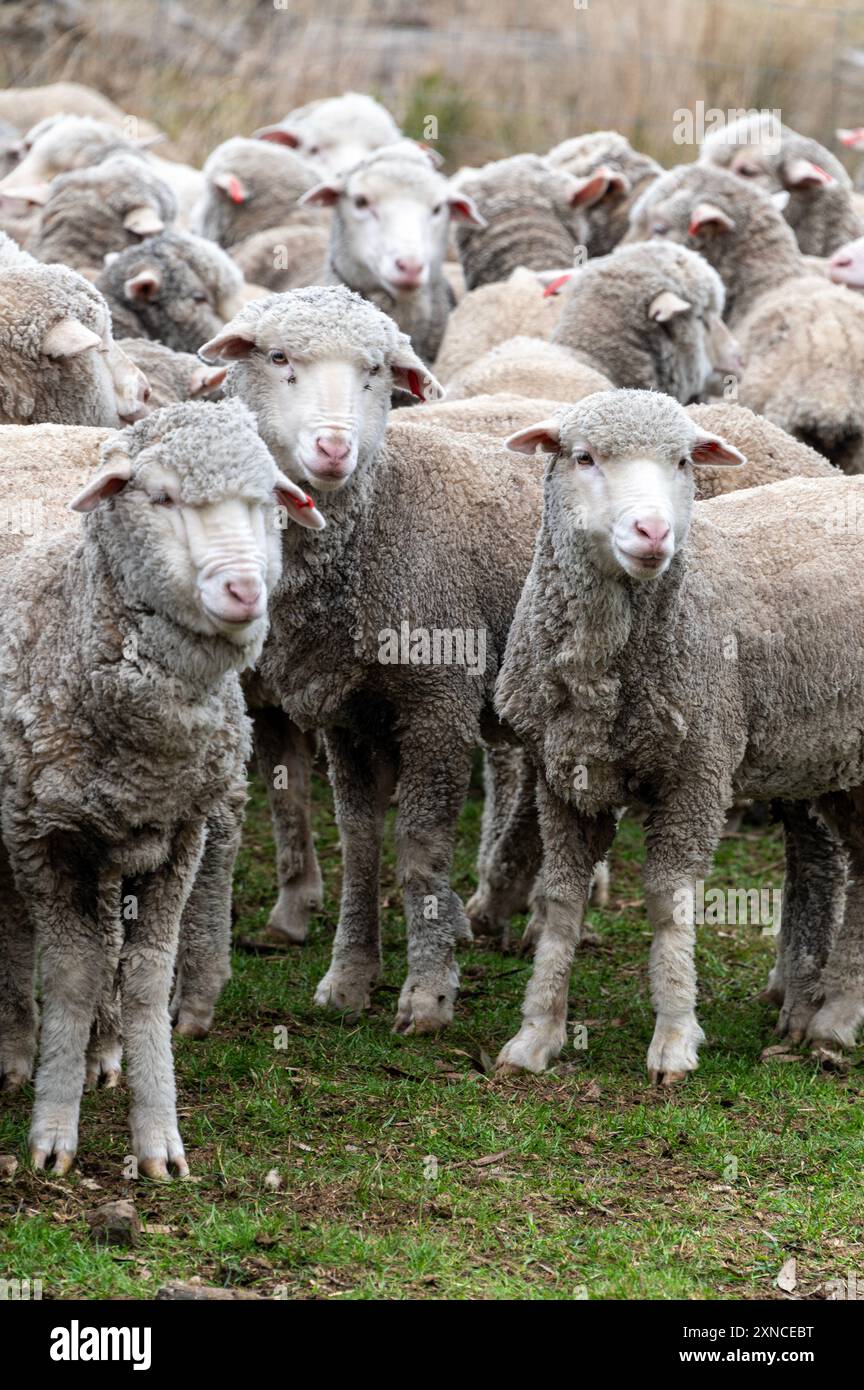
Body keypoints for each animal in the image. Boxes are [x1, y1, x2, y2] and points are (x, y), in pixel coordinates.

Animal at [0, 399, 326, 1173]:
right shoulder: (40, 836)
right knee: (16, 927)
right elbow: (70, 973)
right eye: (163, 498)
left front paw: (157, 1135)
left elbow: (145, 976)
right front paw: (52, 1132)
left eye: (268, 502)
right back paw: (20, 1050)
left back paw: (102, 1050)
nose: (245, 589)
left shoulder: (179, 833)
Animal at [198, 285, 548, 1024]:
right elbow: (359, 841)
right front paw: (349, 977)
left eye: (377, 371)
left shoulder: (438, 700)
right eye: (278, 357)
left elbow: (420, 845)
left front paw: (429, 991)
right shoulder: (347, 713)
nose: (334, 447)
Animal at [495, 389, 864, 1078]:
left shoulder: (698, 768)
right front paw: (537, 1034)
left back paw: (834, 1017)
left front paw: (673, 1036)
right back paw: (827, 1012)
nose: (653, 532)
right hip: (829, 757)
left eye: (685, 462)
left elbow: (670, 904)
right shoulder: (563, 778)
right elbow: (561, 902)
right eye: (583, 457)